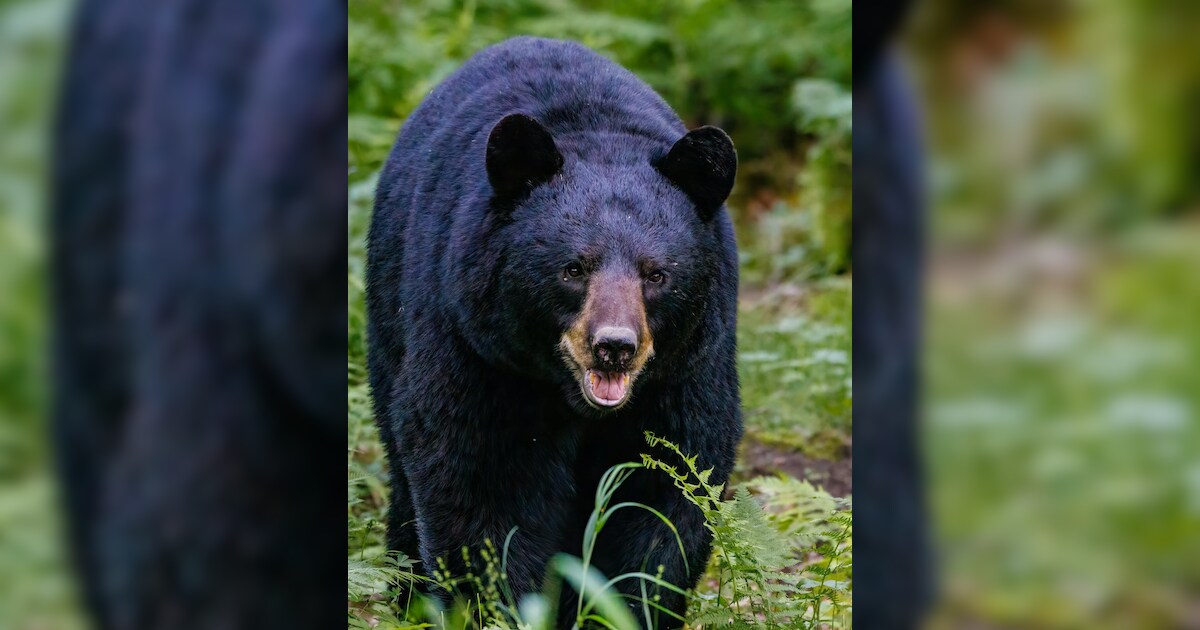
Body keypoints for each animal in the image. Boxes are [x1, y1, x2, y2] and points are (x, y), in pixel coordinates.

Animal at [366, 36, 742, 628]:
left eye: (657, 274)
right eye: (573, 268)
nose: (614, 347)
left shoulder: (687, 369)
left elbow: (667, 491)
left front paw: (622, 607)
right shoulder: (478, 351)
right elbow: (482, 485)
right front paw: (501, 606)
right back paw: (410, 594)